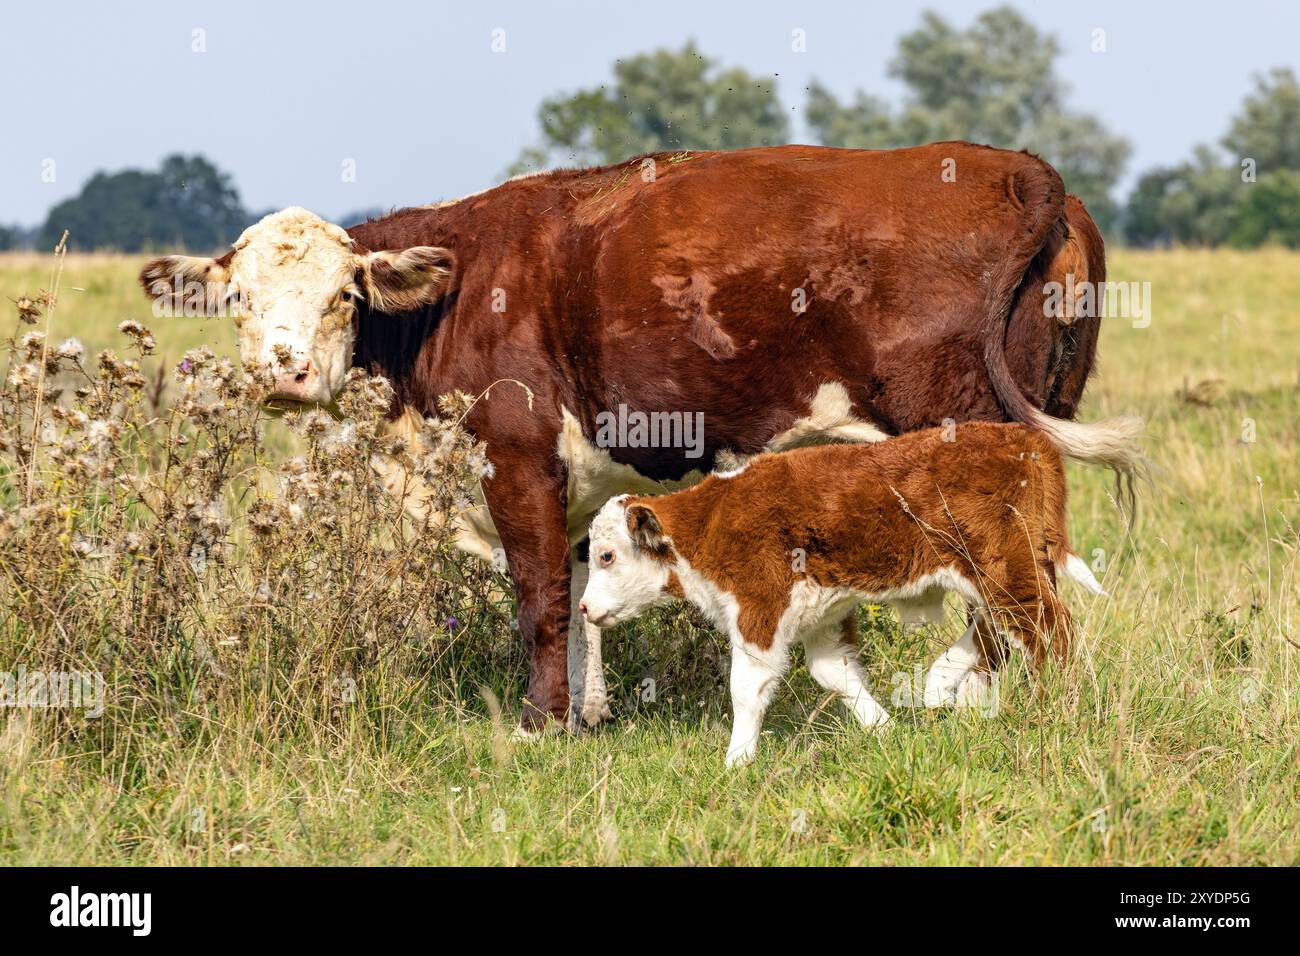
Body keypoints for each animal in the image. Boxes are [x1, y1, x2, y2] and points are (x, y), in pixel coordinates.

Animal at [578, 422, 1105, 766]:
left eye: (607, 555)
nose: (583, 607)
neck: (708, 524)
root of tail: (1022, 436)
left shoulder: (758, 610)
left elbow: (747, 688)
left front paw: (736, 761)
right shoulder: (823, 616)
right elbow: (834, 672)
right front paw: (885, 729)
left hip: (1002, 566)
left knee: (1046, 629)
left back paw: (1057, 705)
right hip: (1006, 567)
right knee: (996, 626)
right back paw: (938, 683)